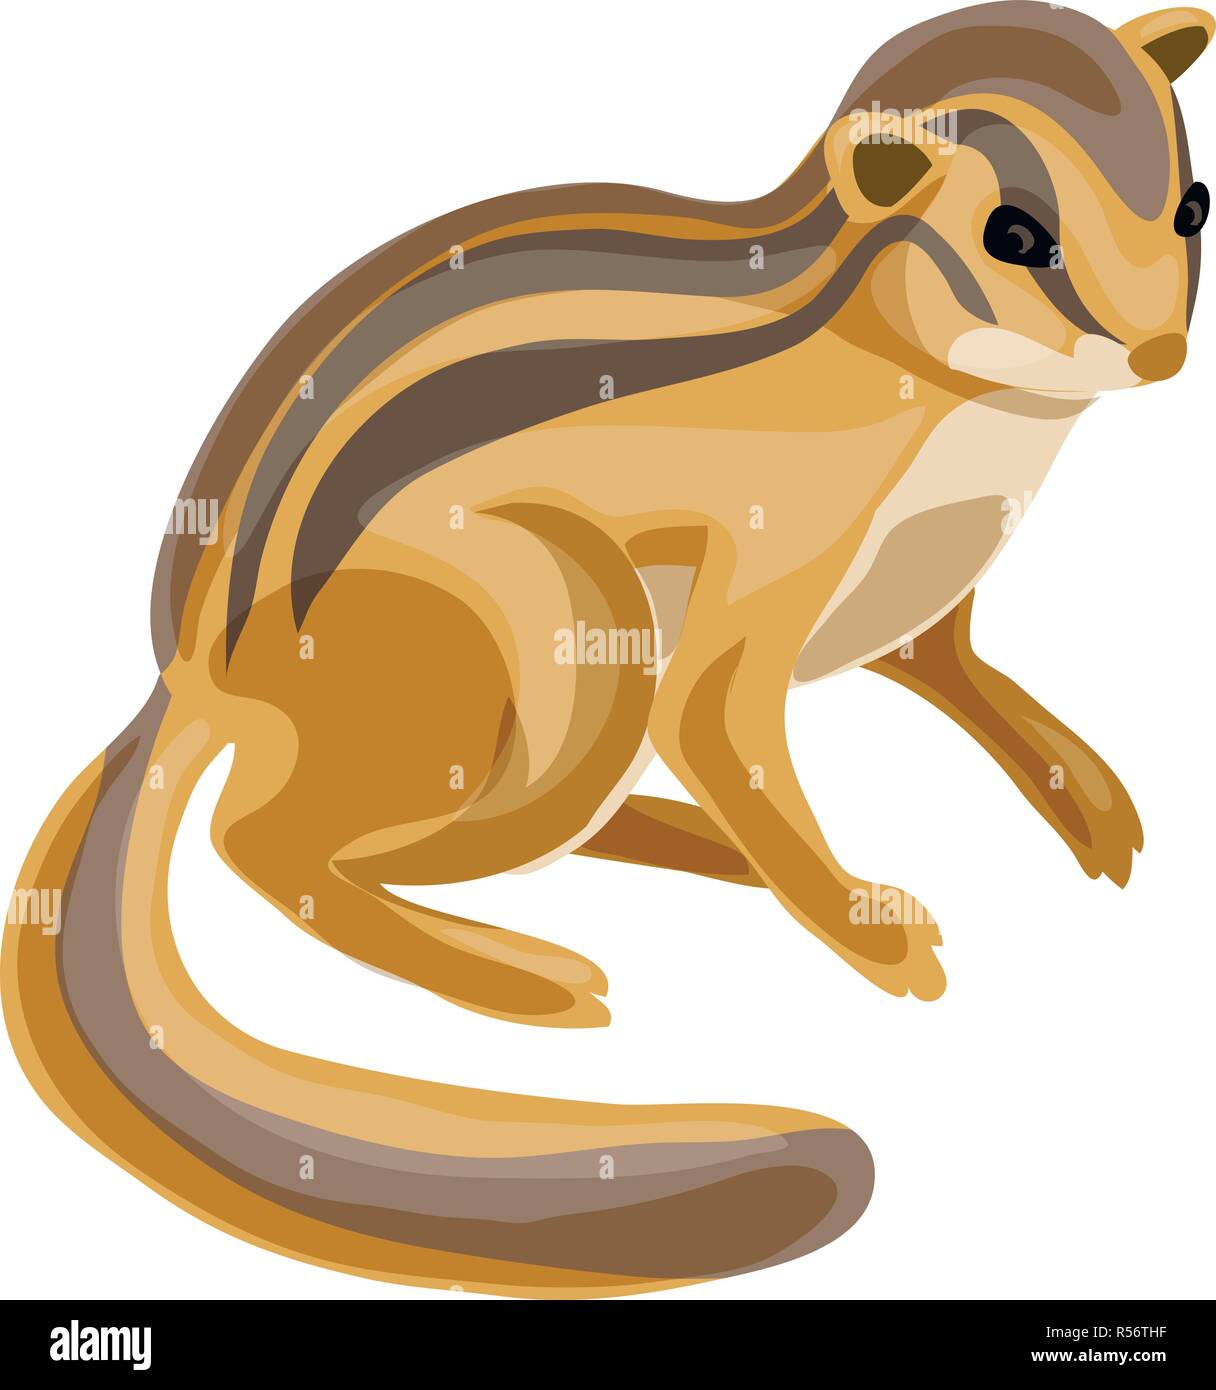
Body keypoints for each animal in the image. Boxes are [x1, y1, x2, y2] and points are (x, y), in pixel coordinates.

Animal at [4, 3, 1210, 1298]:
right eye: (1013, 232)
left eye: (1194, 204)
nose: (1158, 355)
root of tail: (192, 679)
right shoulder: (772, 557)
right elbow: (718, 722)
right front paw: (868, 929)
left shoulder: (924, 598)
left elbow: (959, 674)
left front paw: (1086, 796)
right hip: (563, 623)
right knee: (271, 842)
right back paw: (518, 971)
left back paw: (694, 850)